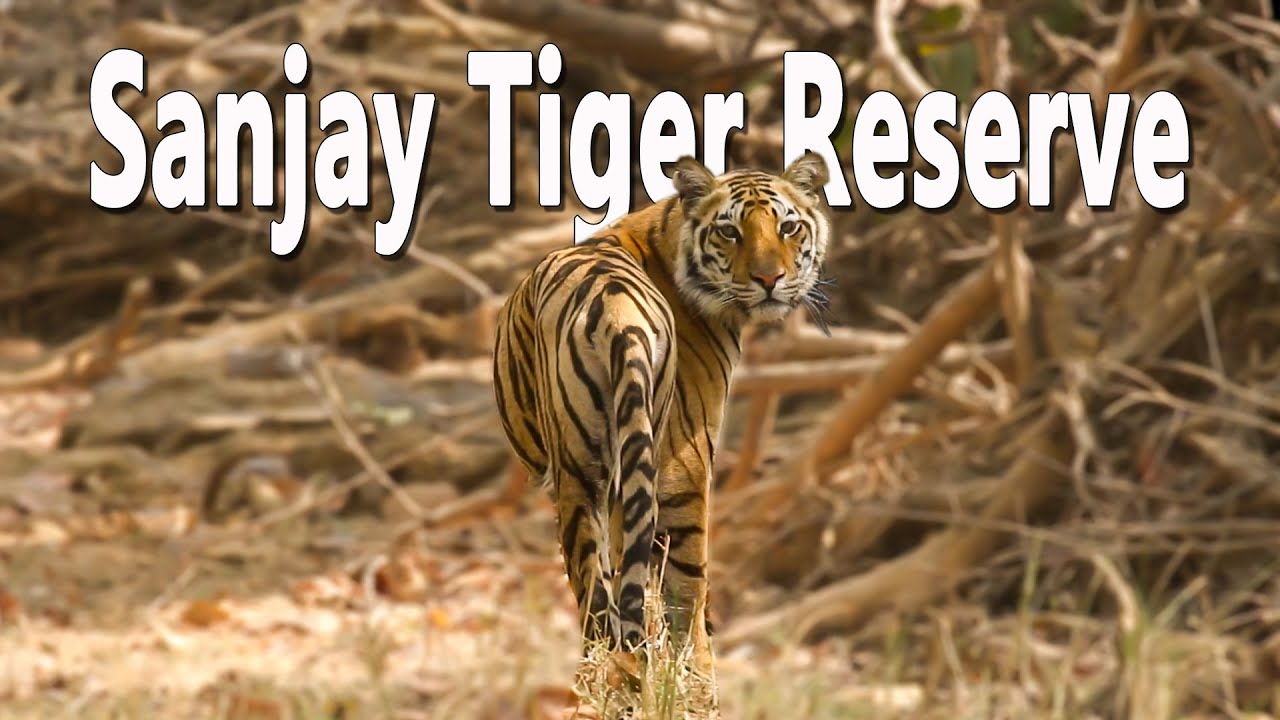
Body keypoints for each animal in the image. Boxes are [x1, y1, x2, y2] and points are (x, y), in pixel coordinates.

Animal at [491, 152, 832, 679]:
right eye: (730, 231)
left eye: (788, 227)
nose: (769, 280)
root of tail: (616, 312)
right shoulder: (686, 452)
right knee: (678, 594)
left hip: (584, 470)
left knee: (599, 601)